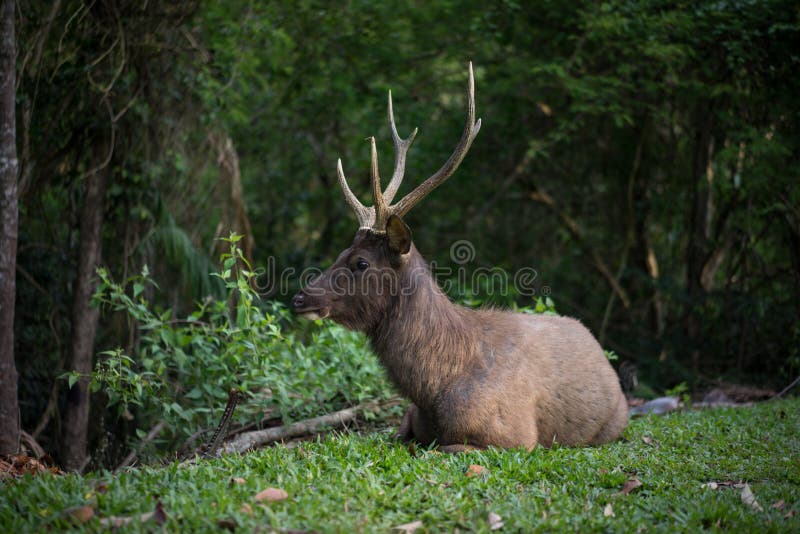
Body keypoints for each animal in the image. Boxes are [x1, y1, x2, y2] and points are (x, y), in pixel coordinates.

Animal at [291, 63, 628, 452]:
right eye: (342, 251)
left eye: (361, 262)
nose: (300, 297)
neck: (433, 390)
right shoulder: (410, 418)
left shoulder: (516, 438)